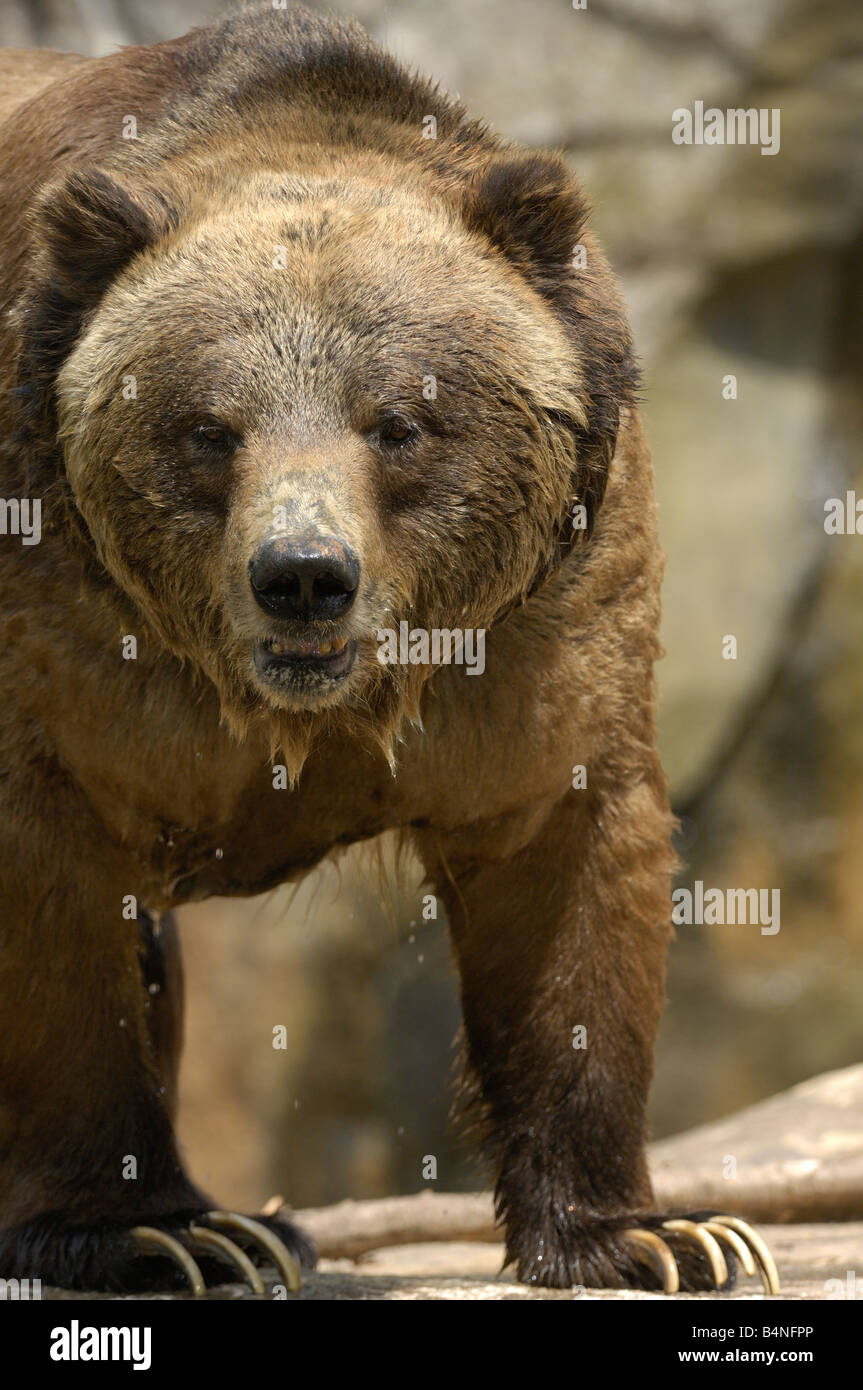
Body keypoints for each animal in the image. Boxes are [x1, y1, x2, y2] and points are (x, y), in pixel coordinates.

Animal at [0, 4, 777, 1293]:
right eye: (207, 428)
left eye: (399, 421)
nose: (303, 576)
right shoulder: (60, 630)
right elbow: (56, 918)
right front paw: (162, 1229)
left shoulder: (540, 625)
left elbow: (564, 879)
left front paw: (656, 1234)